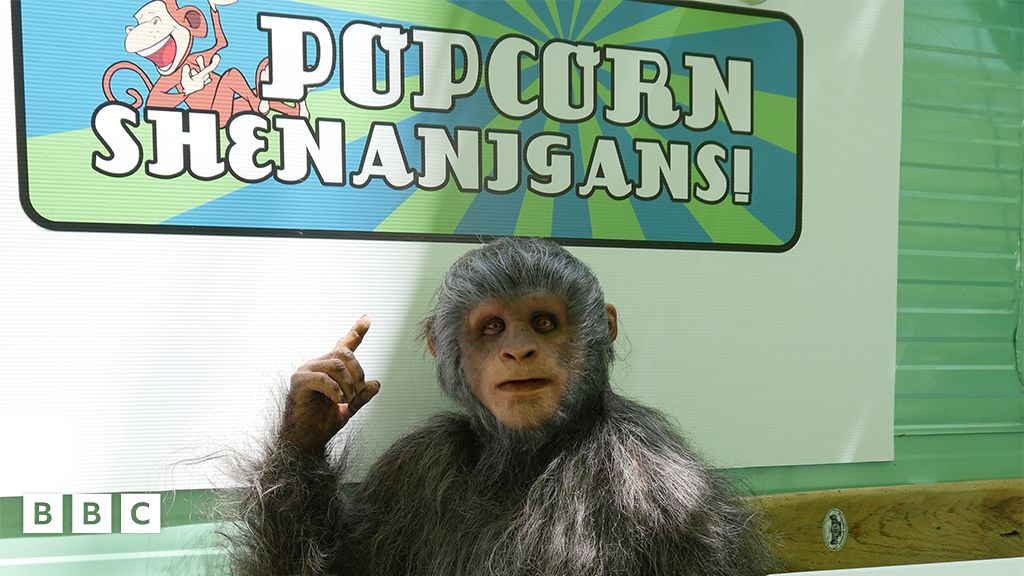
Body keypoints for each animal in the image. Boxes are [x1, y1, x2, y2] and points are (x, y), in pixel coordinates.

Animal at [103, 0, 305, 127]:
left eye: (155, 21)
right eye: (135, 25)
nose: (132, 32)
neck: (185, 61)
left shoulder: (202, 55)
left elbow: (222, 42)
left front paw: (213, 4)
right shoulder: (171, 77)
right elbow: (154, 99)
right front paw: (193, 83)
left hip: (237, 107)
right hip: (224, 114)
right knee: (231, 75)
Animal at [226, 237, 777, 576]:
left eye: (543, 322)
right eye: (493, 327)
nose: (518, 350)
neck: (528, 456)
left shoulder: (667, 492)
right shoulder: (415, 463)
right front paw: (311, 414)